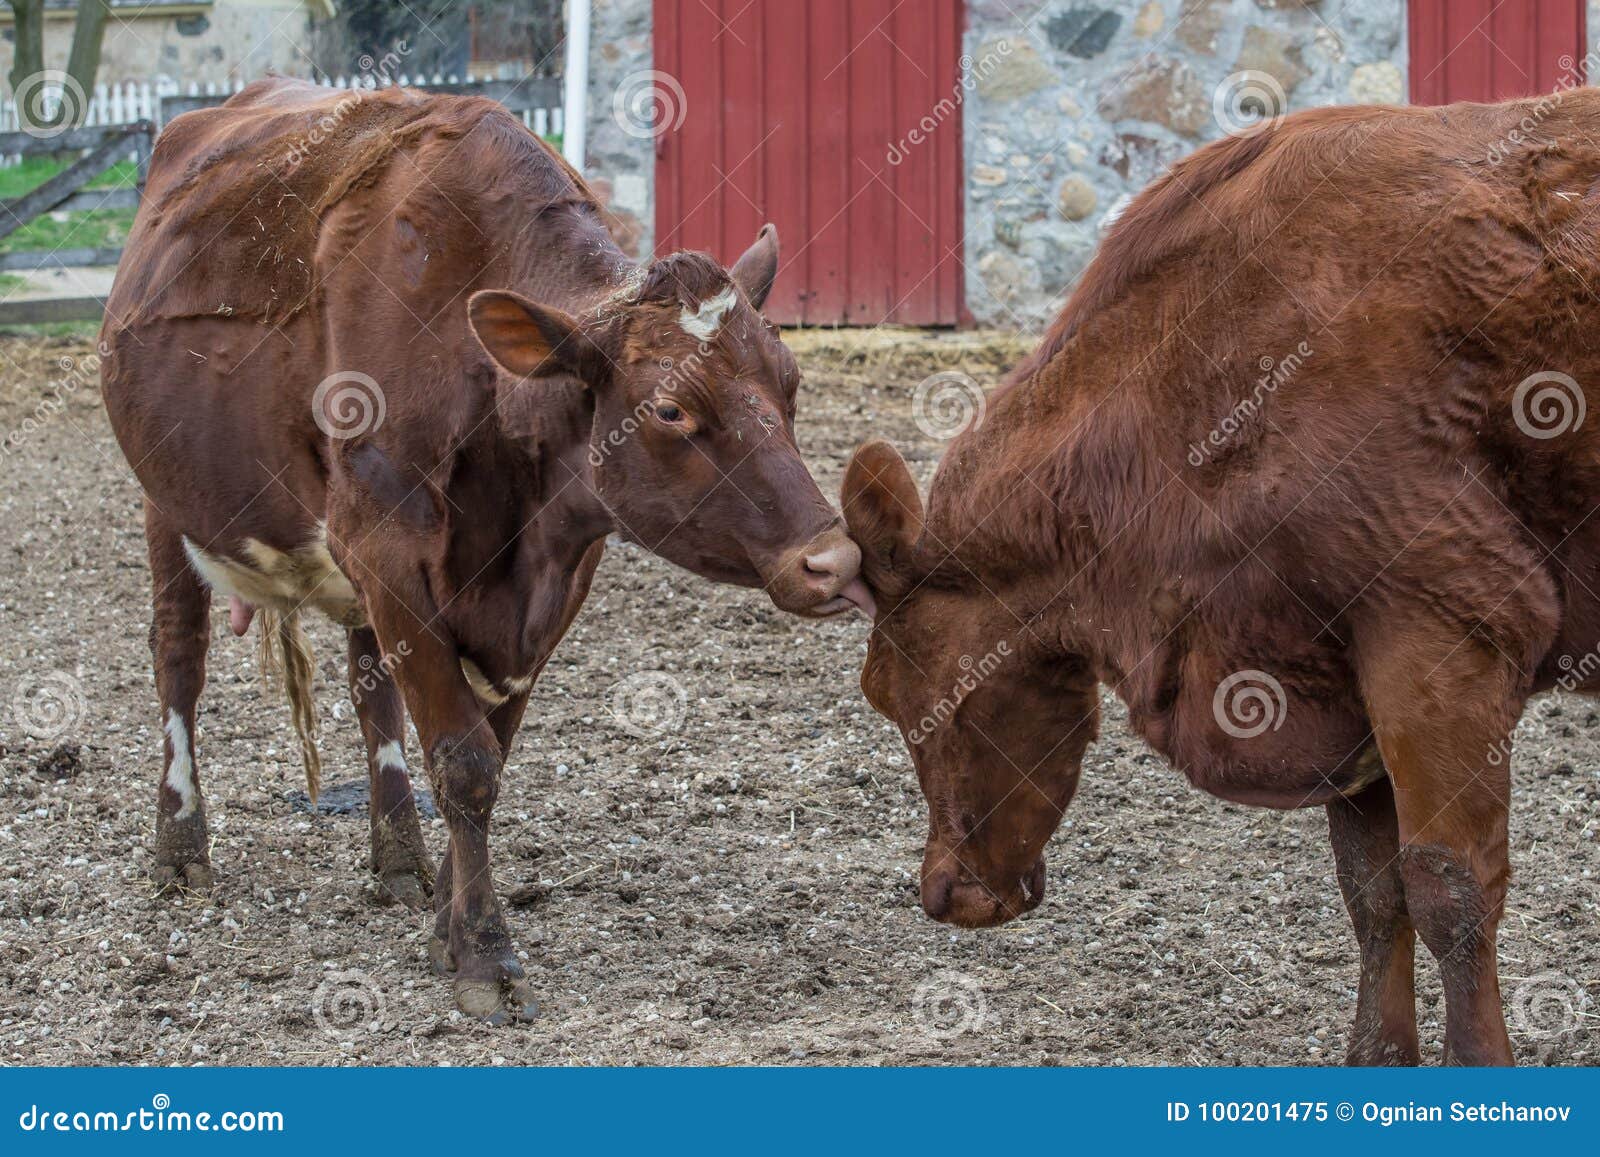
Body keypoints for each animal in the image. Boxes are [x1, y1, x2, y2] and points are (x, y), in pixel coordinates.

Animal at [101, 78, 869, 1023]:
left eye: (792, 384)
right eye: (669, 410)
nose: (832, 561)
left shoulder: (548, 584)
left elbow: (480, 752)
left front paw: (446, 922)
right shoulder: (387, 546)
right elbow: (464, 761)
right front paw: (484, 951)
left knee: (371, 689)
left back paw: (398, 858)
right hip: (165, 500)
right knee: (179, 657)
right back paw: (180, 845)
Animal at [841, 93, 1600, 1065]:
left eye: (910, 693)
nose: (944, 891)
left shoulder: (1444, 631)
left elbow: (1449, 890)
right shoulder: (1336, 669)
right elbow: (1373, 892)